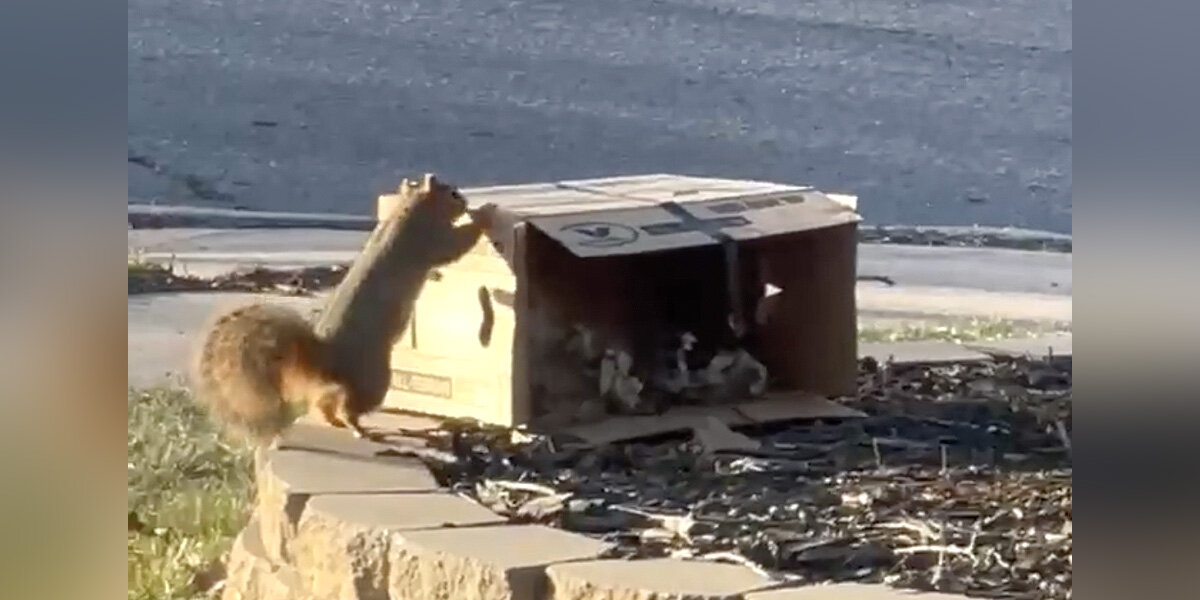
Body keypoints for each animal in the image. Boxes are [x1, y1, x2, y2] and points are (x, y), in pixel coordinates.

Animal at [190, 174, 496, 445]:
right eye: (452, 193)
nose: (467, 202)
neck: (408, 209)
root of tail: (327, 361)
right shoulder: (429, 239)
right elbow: (455, 245)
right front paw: (485, 215)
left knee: (324, 403)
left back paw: (335, 422)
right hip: (374, 380)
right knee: (349, 407)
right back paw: (359, 429)